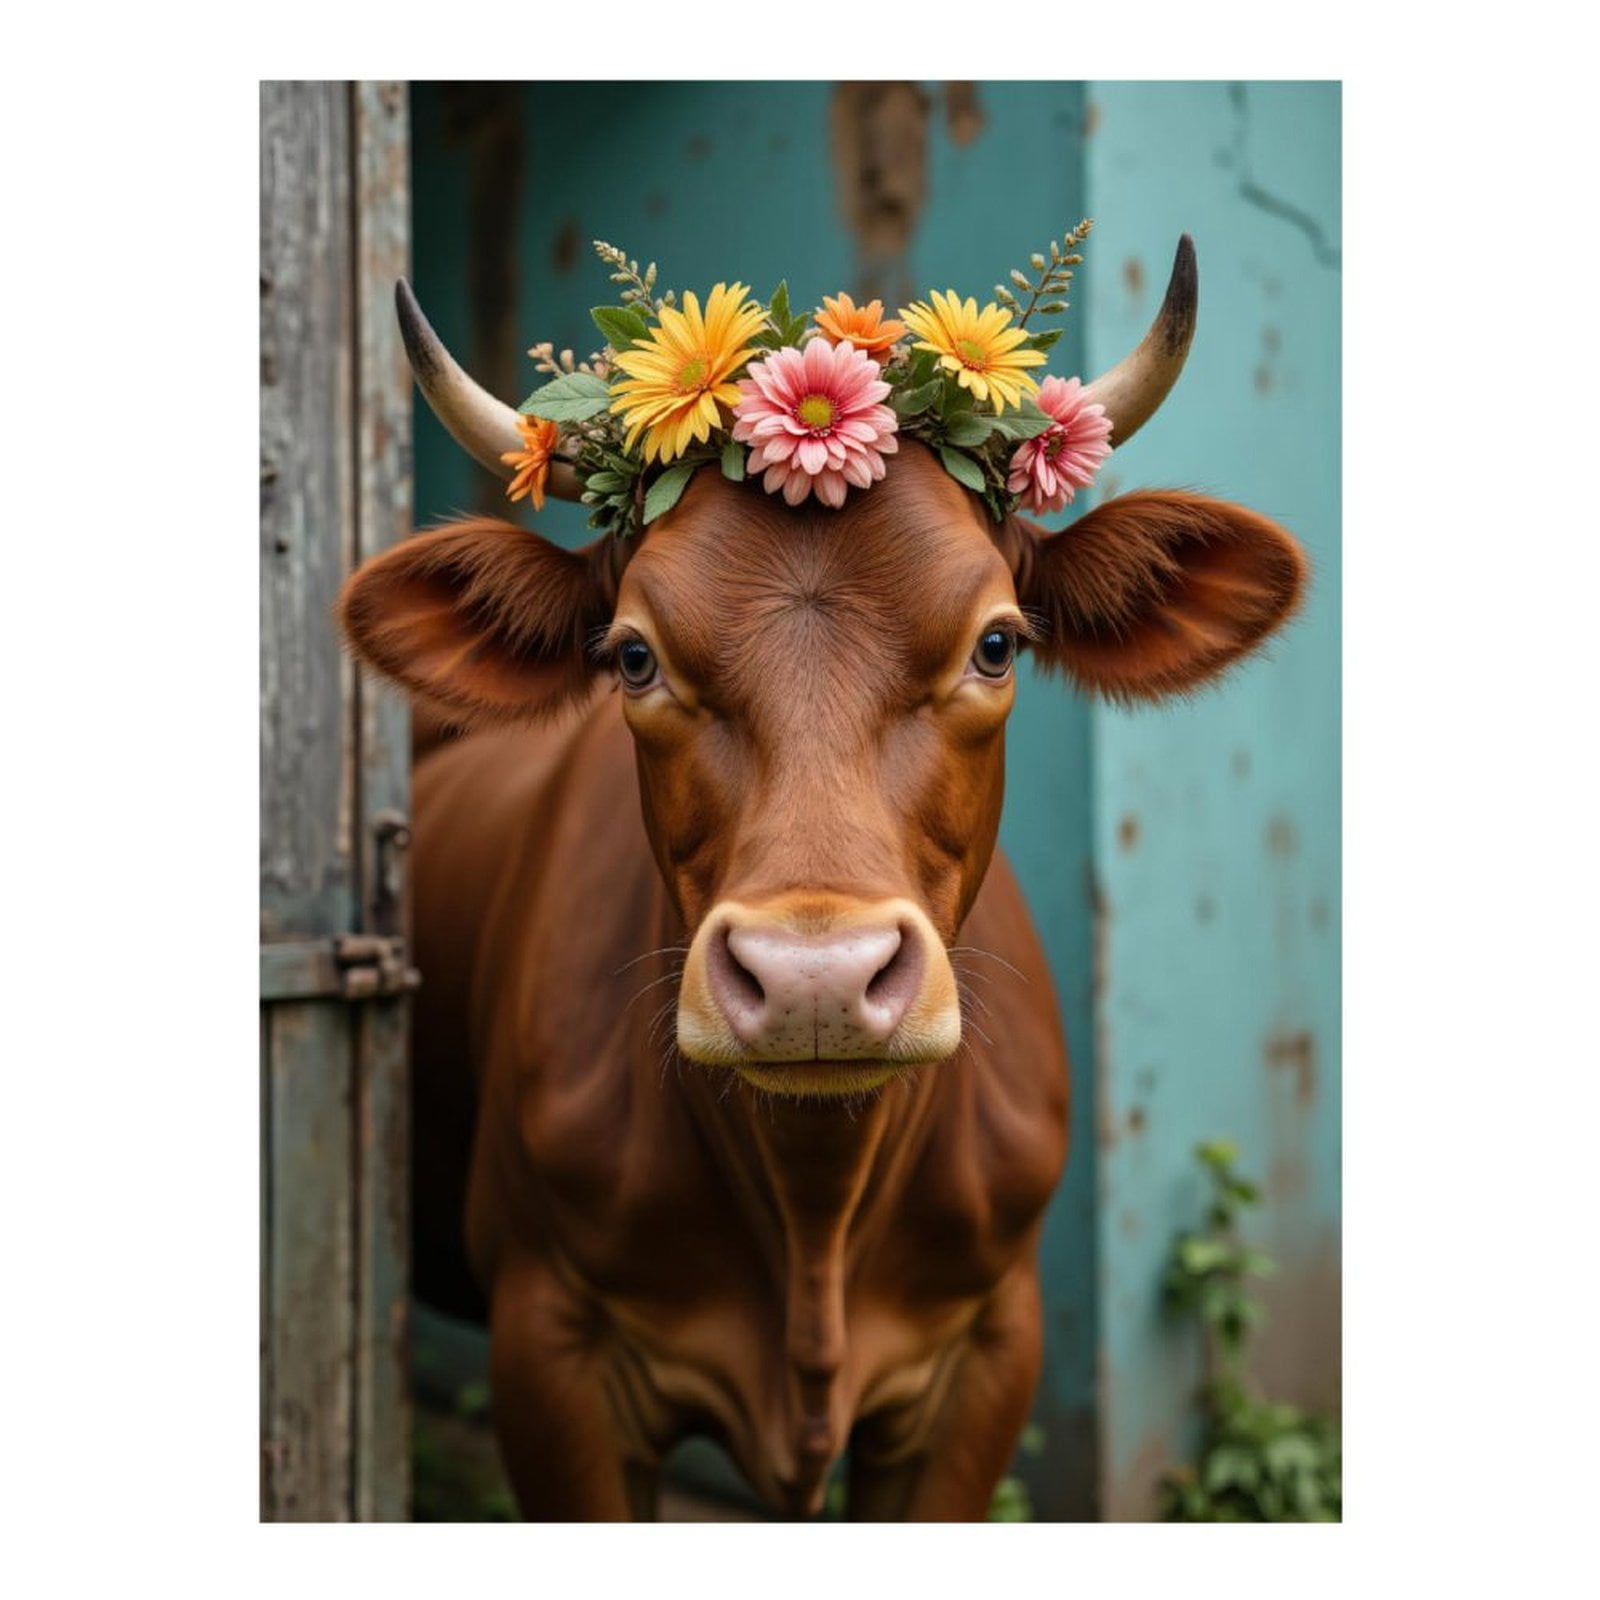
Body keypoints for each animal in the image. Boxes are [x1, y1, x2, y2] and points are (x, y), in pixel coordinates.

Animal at [338, 239, 1307, 1521]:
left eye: (996, 643)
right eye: (633, 656)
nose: (815, 980)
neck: (814, 1214)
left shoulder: (987, 1355)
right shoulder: (549, 1357)